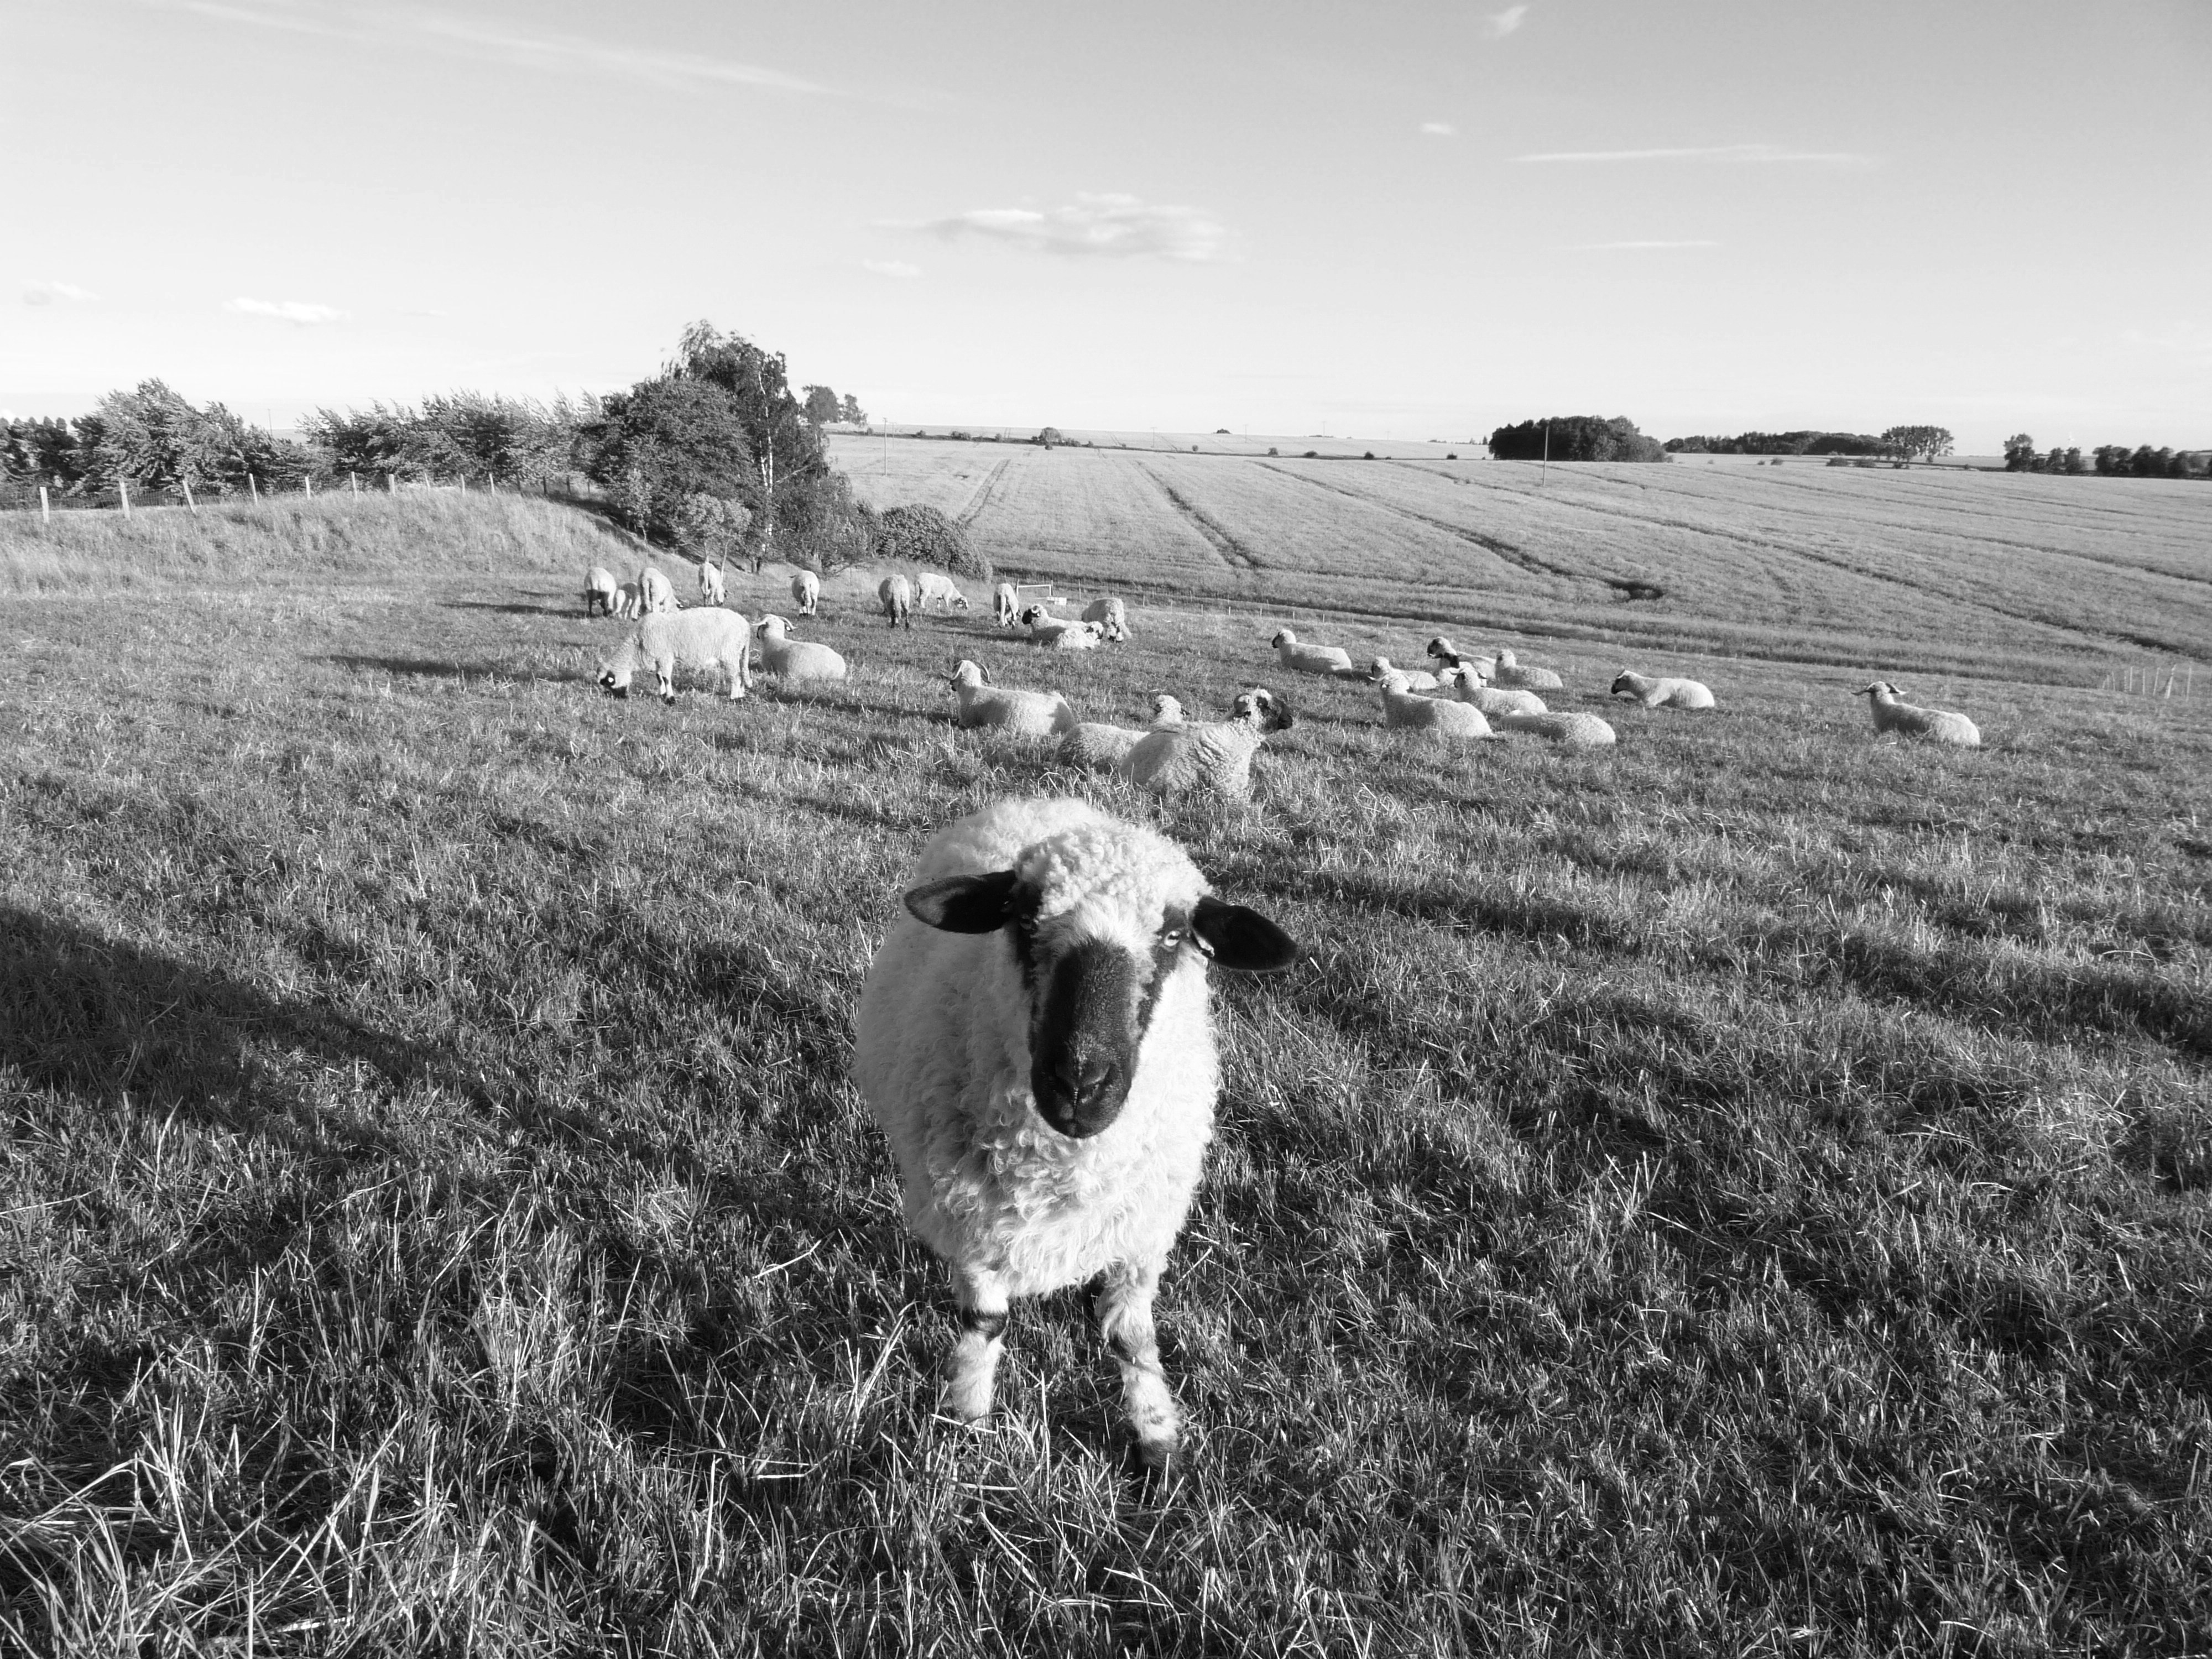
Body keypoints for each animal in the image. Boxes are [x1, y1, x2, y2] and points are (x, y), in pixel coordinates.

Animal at [597, 609, 754, 704]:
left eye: (608, 683)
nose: (616, 698)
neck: (637, 646)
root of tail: (746, 627)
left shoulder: (665, 656)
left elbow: (666, 678)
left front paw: (670, 699)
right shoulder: (659, 658)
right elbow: (659, 677)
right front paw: (662, 694)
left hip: (729, 653)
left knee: (735, 676)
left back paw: (734, 698)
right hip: (738, 653)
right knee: (741, 673)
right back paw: (740, 695)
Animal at [852, 796, 1299, 1472]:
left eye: (1174, 935)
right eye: (1023, 918)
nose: (1080, 1081)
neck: (1064, 1167)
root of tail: (1042, 799)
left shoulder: (1143, 1232)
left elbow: (1132, 1338)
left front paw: (1159, 1447)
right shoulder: (973, 1226)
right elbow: (984, 1324)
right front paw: (969, 1425)